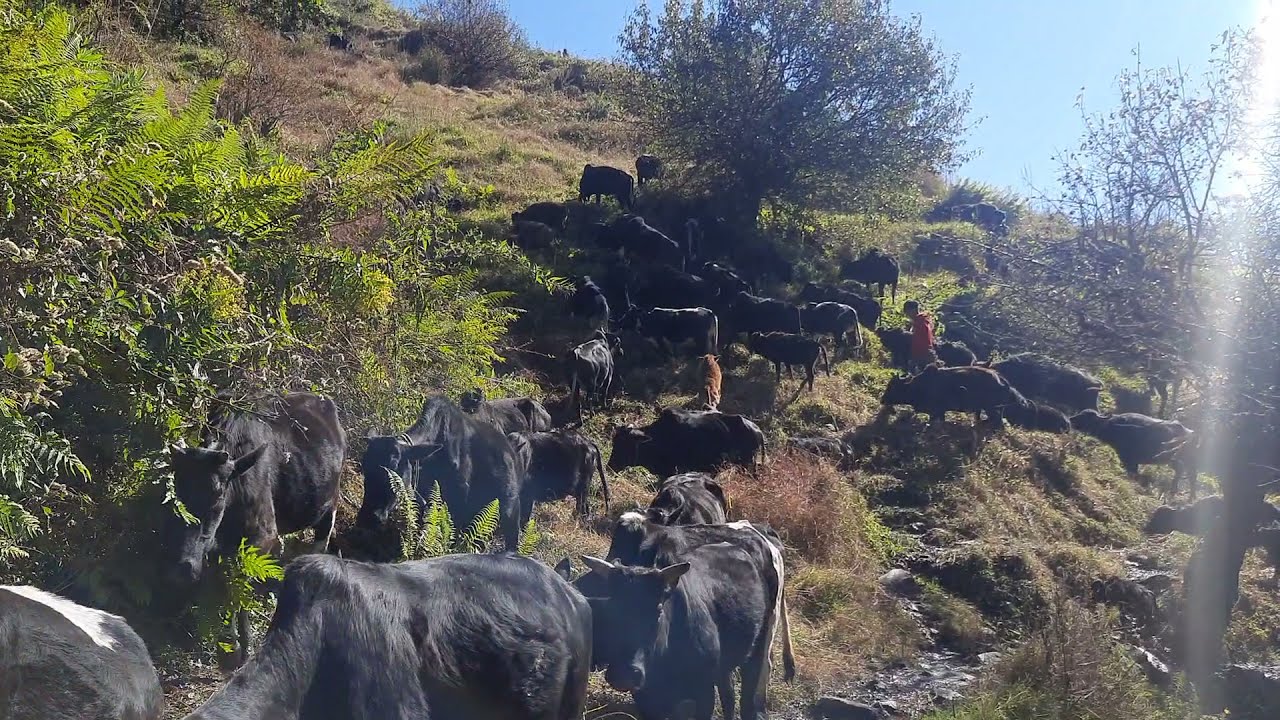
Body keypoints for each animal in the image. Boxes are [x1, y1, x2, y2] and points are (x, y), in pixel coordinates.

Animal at [168, 392, 345, 660]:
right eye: (178, 491)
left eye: (218, 494)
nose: (183, 568)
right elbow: (223, 582)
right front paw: (230, 643)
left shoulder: (263, 537)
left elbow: (237, 587)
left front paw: (244, 646)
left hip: (329, 505)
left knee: (321, 541)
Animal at [572, 513, 795, 720]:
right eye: (611, 606)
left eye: (659, 609)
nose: (624, 674)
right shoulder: (648, 700)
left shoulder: (703, 693)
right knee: (729, 695)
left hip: (760, 648)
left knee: (752, 695)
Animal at [881, 364, 1069, 432]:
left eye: (893, 387)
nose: (883, 400)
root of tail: (1006, 384)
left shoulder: (937, 410)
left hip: (992, 409)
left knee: (997, 423)